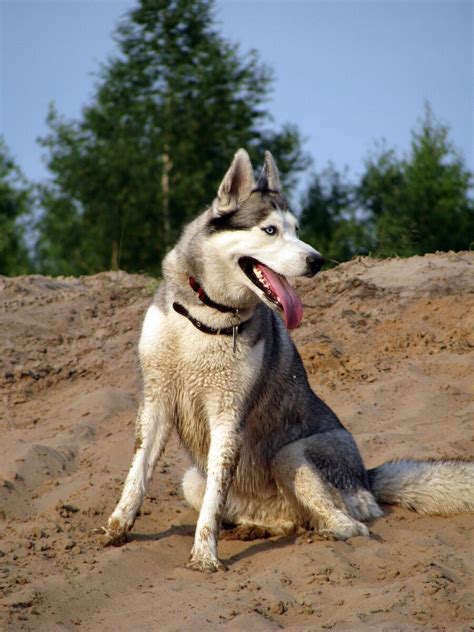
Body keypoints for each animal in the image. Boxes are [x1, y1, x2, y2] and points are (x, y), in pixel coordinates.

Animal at [101, 149, 474, 572]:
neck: (206, 317)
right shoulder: (156, 401)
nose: (317, 260)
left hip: (290, 454)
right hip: (192, 478)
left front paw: (204, 555)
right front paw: (117, 528)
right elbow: (138, 476)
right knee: (283, 519)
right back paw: (254, 529)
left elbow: (212, 507)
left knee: (352, 525)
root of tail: (367, 476)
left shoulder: (228, 417)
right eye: (270, 231)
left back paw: (323, 533)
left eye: (297, 229)